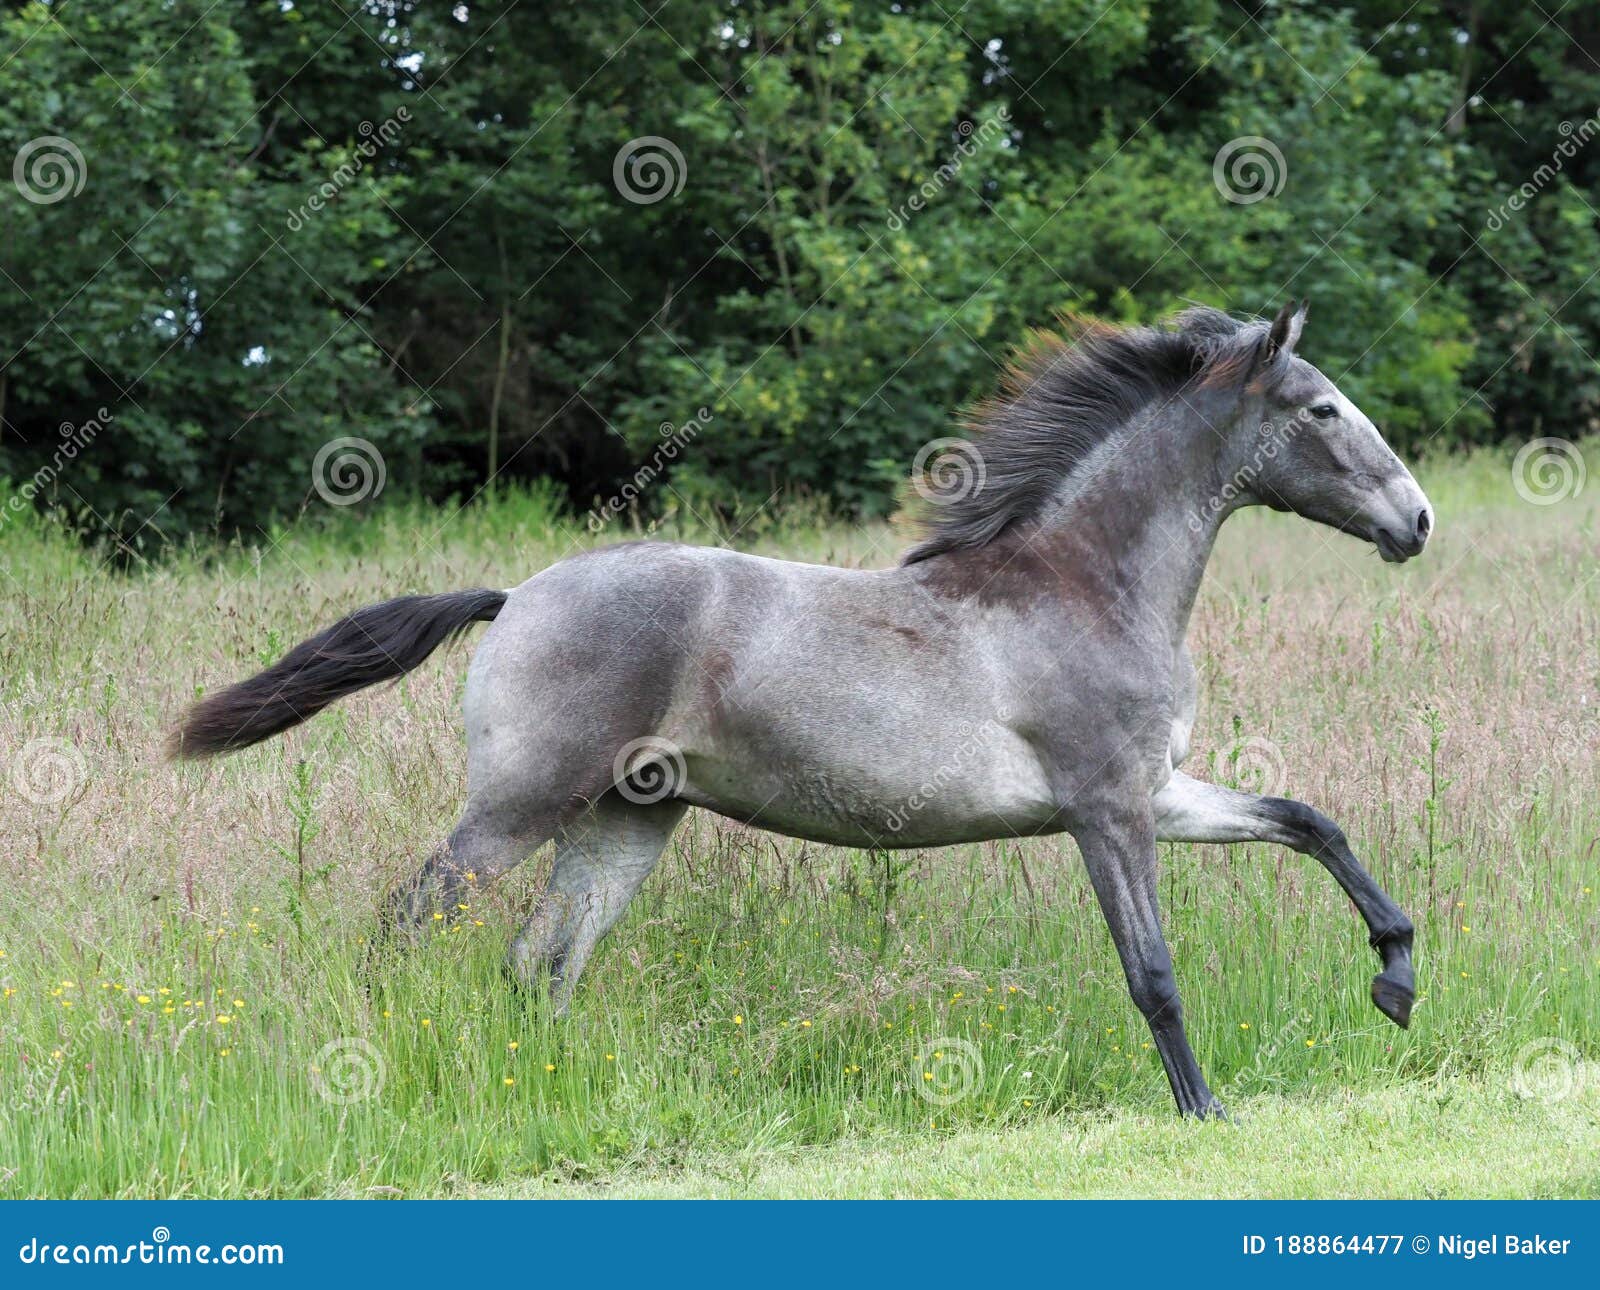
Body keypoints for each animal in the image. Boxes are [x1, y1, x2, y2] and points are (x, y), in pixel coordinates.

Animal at [169, 302, 1431, 1118]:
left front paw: (1395, 980)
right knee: (411, 922)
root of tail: (516, 594)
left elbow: (1307, 821)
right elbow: (1154, 975)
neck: (1082, 586)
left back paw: (568, 1100)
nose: (1416, 522)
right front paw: (1203, 1111)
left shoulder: (1162, 794)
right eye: (1324, 411)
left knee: (543, 962)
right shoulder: (1106, 811)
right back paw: (376, 1066)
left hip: (627, 821)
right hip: (520, 806)